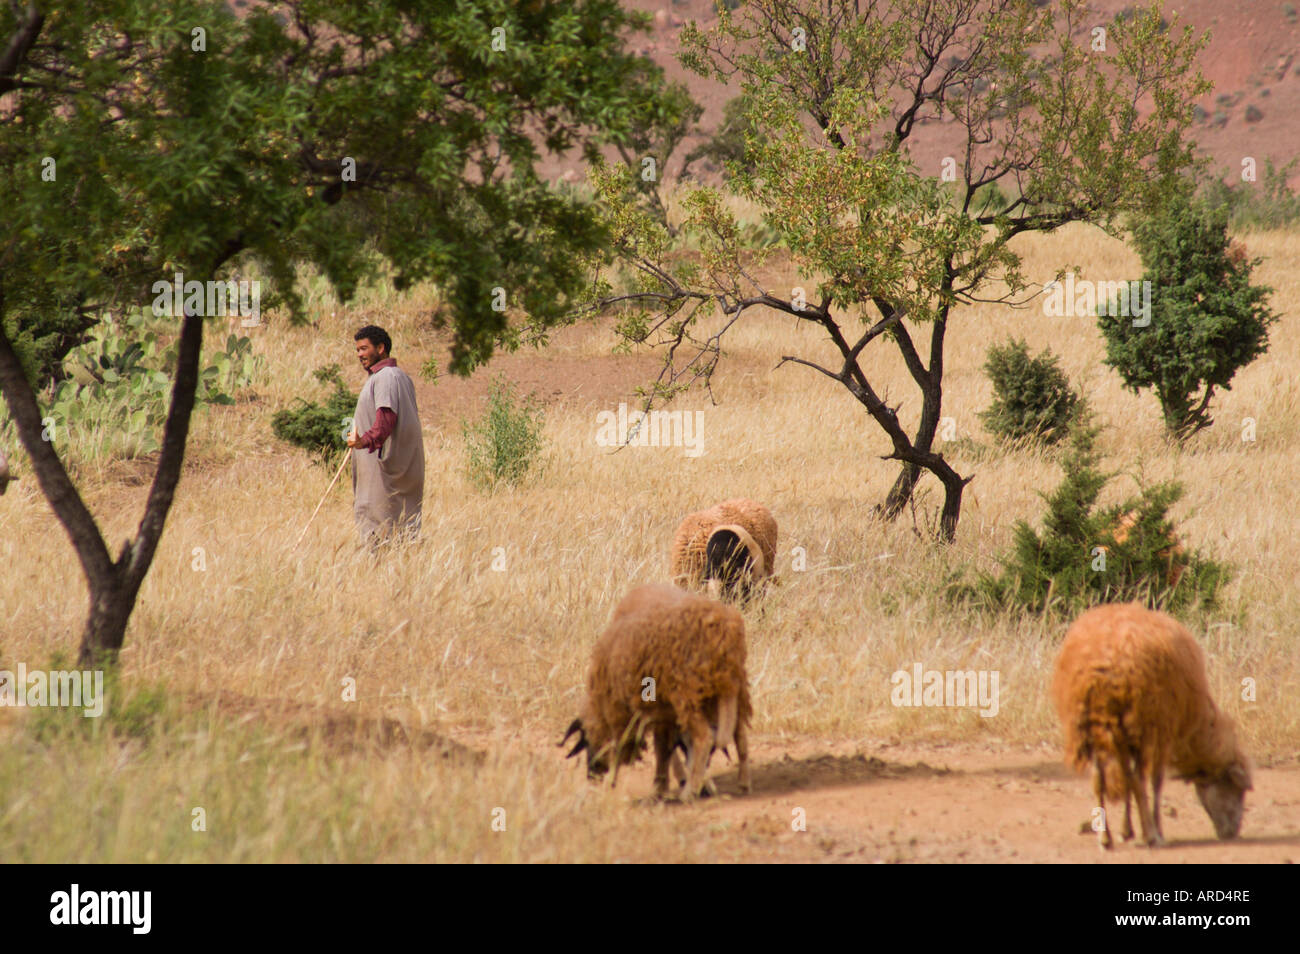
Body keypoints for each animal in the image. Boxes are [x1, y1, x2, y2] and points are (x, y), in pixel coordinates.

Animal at [561, 583, 752, 801]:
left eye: (585, 740)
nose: (592, 775)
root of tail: (723, 630)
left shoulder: (627, 712)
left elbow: (627, 748)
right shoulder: (663, 712)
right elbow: (664, 749)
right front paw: (663, 784)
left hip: (687, 695)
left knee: (704, 738)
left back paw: (689, 792)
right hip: (734, 689)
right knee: (740, 734)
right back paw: (743, 783)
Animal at [1051, 602, 1252, 849]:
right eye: (1238, 790)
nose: (1232, 833)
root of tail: (1105, 665)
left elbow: (1126, 779)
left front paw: (1126, 830)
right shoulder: (1164, 732)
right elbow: (1155, 781)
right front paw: (1155, 829)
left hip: (1096, 727)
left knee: (1099, 779)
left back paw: (1105, 838)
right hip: (1142, 723)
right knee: (1138, 779)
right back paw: (1150, 835)